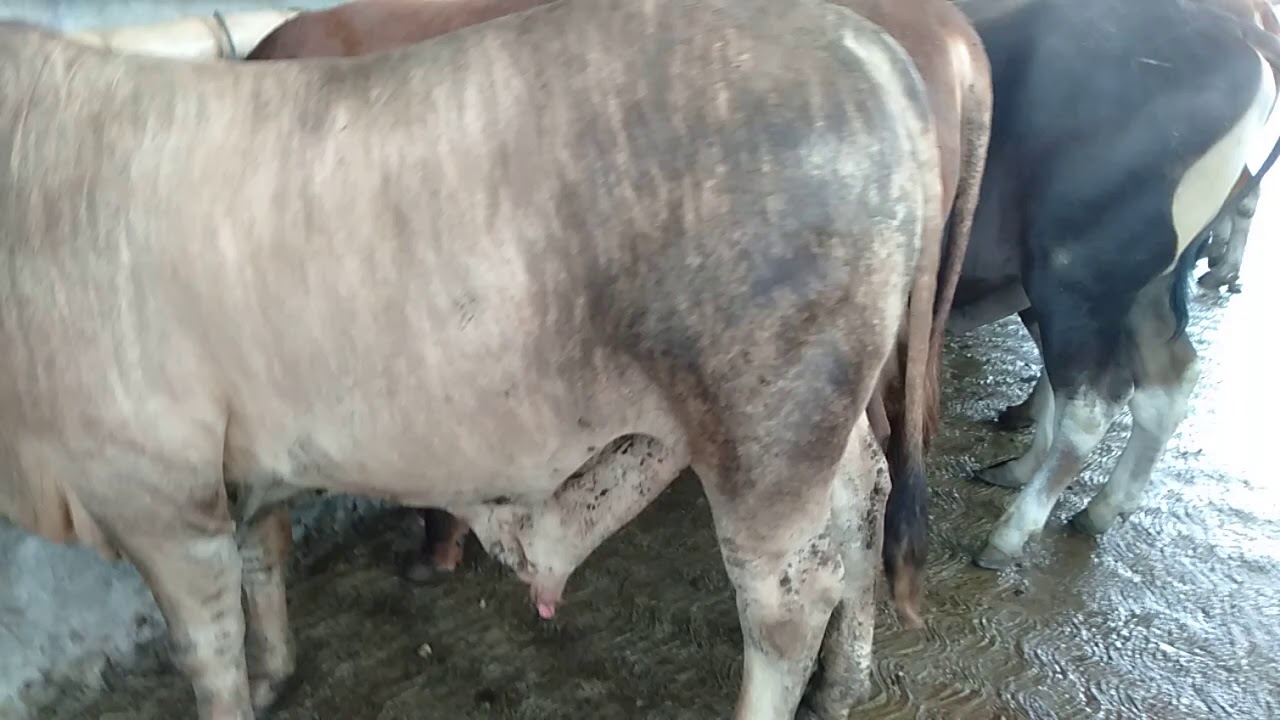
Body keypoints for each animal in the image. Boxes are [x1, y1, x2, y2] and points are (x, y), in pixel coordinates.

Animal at [945, 0, 1280, 569]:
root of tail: (1239, 32)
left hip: (1075, 275)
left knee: (1093, 401)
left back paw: (1009, 534)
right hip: (1138, 288)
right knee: (1165, 381)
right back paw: (1097, 507)